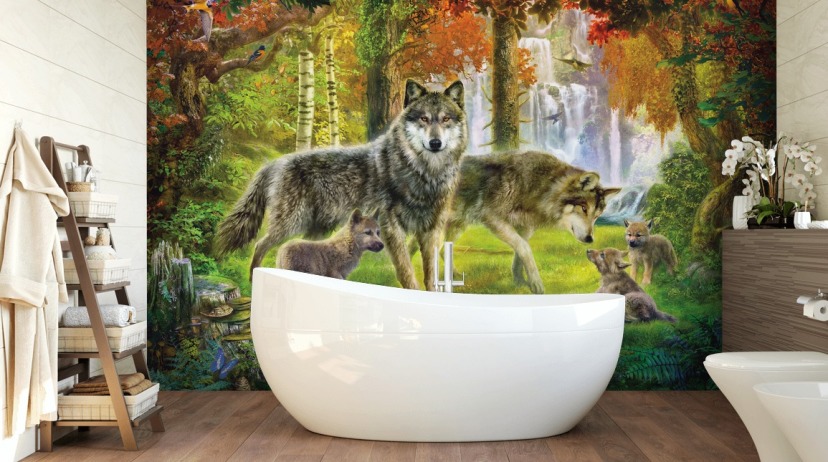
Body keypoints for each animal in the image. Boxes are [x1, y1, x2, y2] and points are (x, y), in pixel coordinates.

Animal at [216, 80, 467, 290]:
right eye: (424, 119)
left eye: (445, 119)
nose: (435, 143)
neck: (426, 174)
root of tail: (275, 162)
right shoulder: (392, 227)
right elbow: (406, 270)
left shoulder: (432, 228)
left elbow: (431, 273)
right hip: (290, 224)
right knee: (260, 245)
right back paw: (253, 283)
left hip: (313, 230)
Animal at [445, 150, 621, 294]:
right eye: (584, 208)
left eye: (597, 215)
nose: (590, 239)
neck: (538, 188)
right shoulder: (493, 218)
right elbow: (525, 248)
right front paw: (536, 283)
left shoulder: (526, 227)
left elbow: (519, 254)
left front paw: (520, 282)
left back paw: (454, 275)